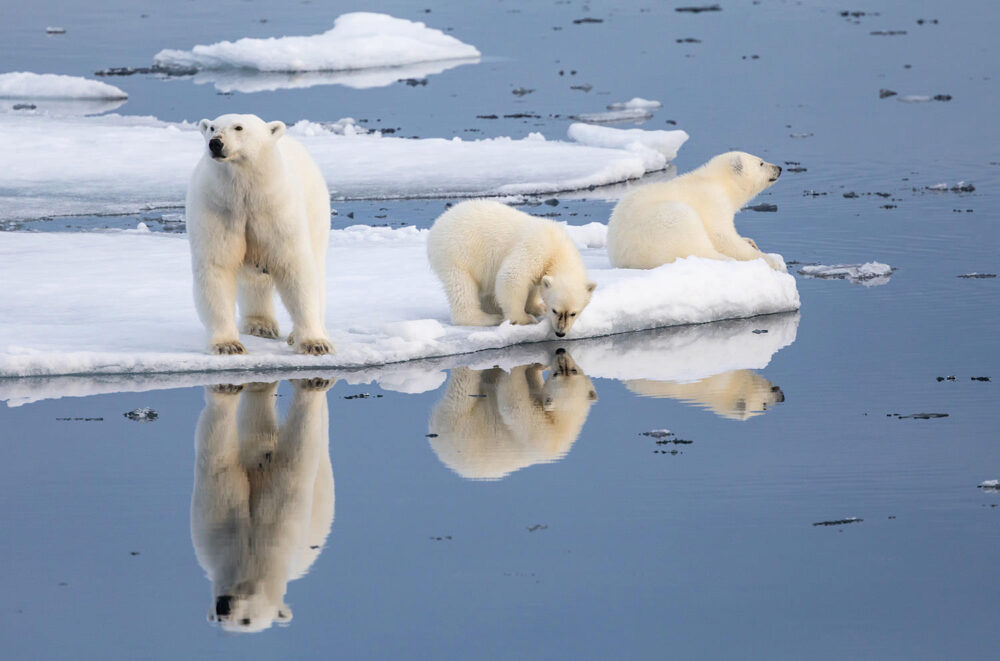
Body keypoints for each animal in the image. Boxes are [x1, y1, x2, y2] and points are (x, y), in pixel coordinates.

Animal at [186, 113, 333, 355]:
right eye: (212, 128)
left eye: (238, 127)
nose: (215, 143)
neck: (246, 194)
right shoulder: (217, 209)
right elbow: (217, 266)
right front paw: (228, 345)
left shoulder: (277, 210)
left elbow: (296, 268)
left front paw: (315, 343)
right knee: (254, 281)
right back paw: (260, 325)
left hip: (315, 209)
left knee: (317, 268)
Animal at [191, 378, 335, 633]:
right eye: (217, 618)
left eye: (247, 621)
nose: (223, 606)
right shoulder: (220, 535)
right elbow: (220, 461)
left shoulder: (285, 520)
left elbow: (296, 453)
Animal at [426, 200, 596, 338]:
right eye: (555, 310)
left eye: (574, 313)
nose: (560, 332)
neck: (556, 247)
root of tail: (437, 224)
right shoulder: (535, 249)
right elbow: (512, 277)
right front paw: (525, 319)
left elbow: (533, 284)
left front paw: (538, 307)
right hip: (456, 254)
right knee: (462, 287)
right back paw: (489, 318)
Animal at [427, 348, 598, 479]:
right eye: (559, 372)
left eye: (572, 370)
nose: (560, 350)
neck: (562, 424)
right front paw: (535, 365)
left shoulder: (538, 432)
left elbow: (512, 403)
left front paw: (524, 367)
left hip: (458, 423)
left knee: (463, 387)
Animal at [607, 151, 785, 271]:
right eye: (761, 163)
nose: (779, 168)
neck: (718, 181)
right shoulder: (713, 201)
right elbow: (722, 236)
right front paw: (771, 260)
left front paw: (749, 241)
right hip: (668, 223)